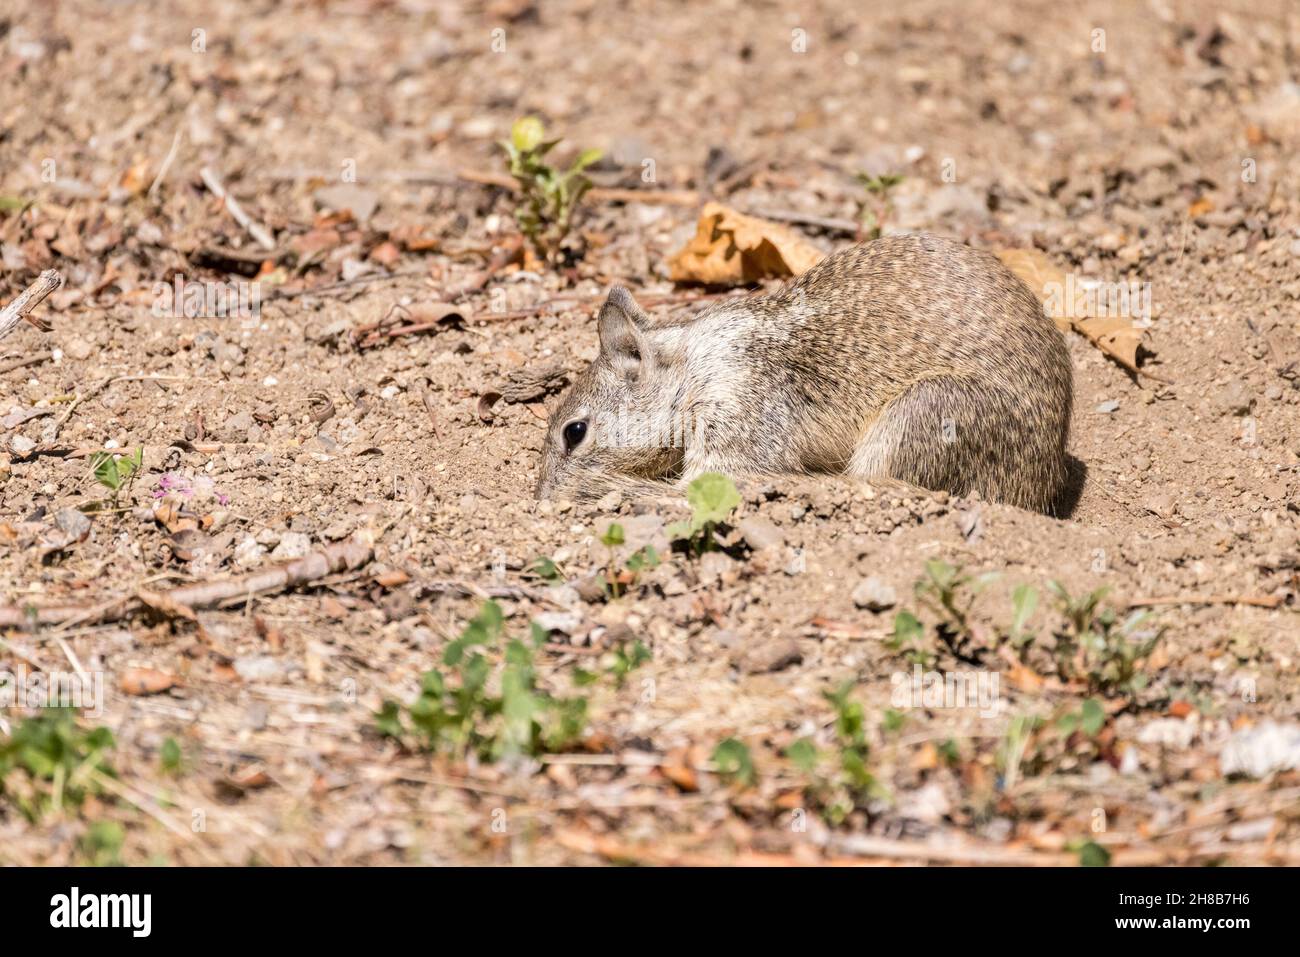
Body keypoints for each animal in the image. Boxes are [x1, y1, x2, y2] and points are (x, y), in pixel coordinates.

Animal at [535, 233, 1073, 514]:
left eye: (574, 431)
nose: (539, 499)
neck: (695, 366)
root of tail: (1041, 484)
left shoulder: (739, 414)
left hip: (928, 411)